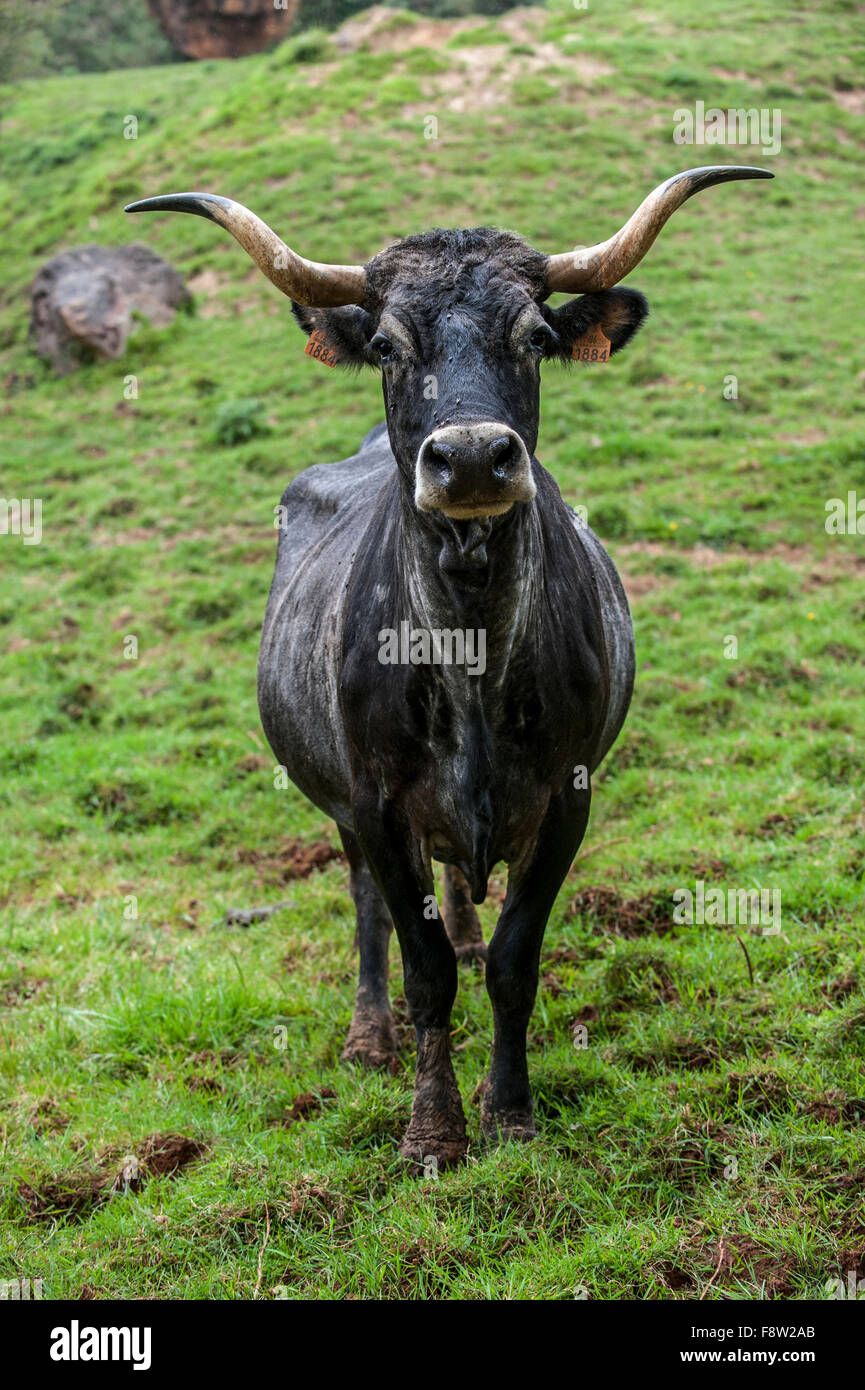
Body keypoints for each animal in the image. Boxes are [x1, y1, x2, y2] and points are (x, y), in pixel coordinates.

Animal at [127, 165, 771, 1167]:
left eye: (537, 336)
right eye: (388, 343)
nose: (469, 458)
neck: (471, 650)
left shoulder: (566, 801)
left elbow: (511, 962)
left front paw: (509, 1113)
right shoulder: (377, 804)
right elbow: (423, 969)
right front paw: (432, 1129)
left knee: (461, 900)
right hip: (343, 807)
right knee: (369, 910)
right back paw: (368, 1037)